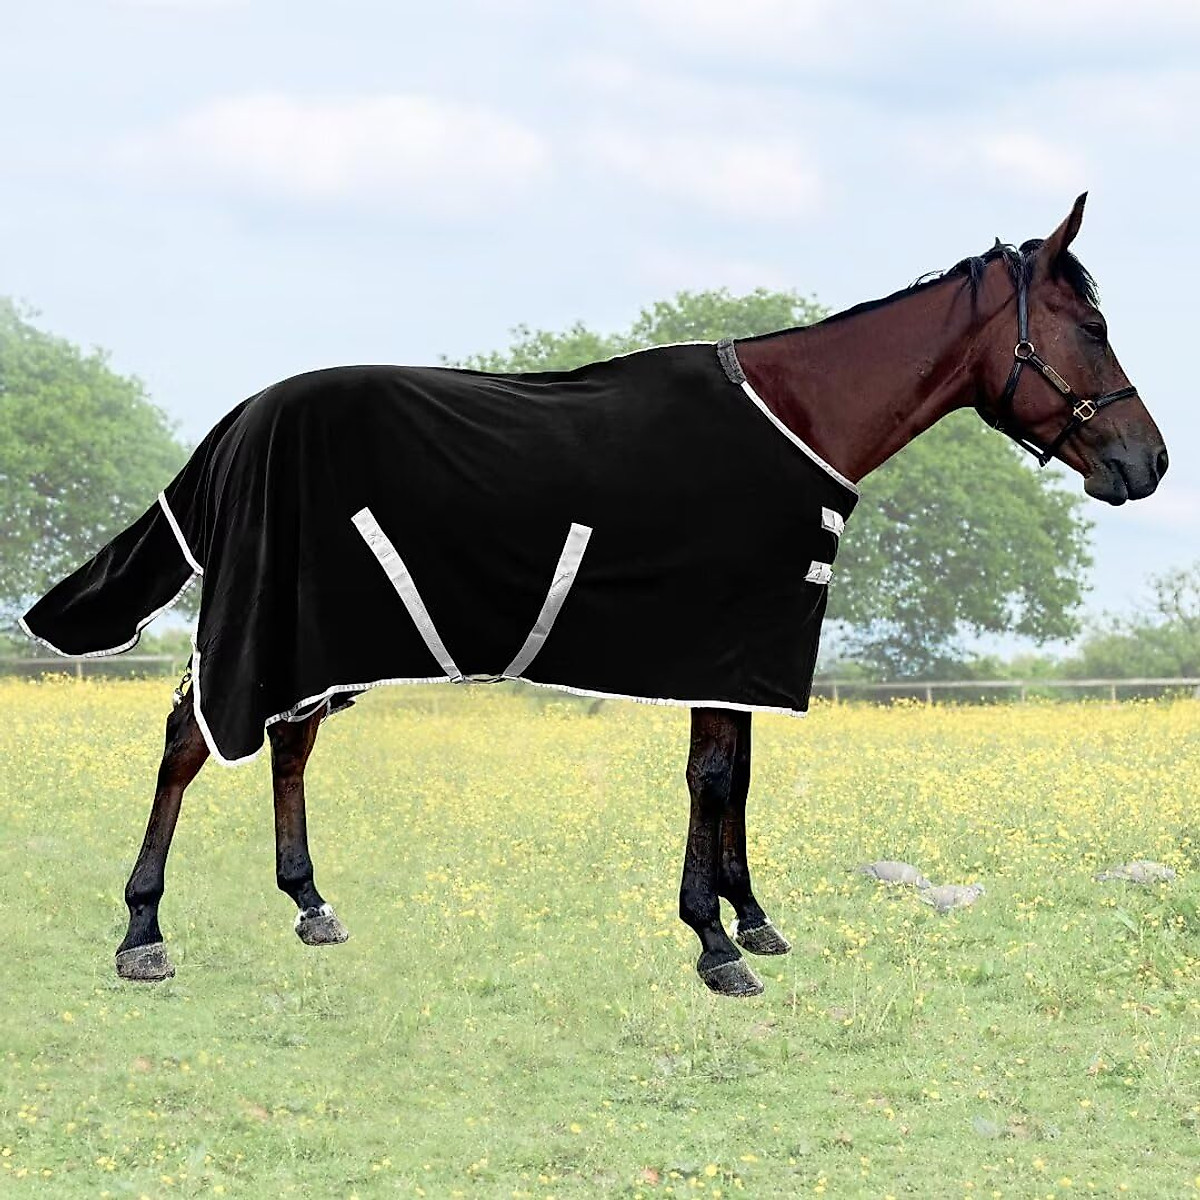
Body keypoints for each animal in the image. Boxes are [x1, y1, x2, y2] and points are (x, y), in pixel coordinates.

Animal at [21, 194, 1167, 997]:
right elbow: (713, 780)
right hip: (275, 626)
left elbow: (737, 783)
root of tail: (239, 419)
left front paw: (753, 920)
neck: (794, 418)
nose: (1147, 463)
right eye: (1091, 328)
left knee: (288, 744)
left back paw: (311, 905)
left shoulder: (748, 651)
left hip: (327, 635)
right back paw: (142, 933)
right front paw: (715, 946)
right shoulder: (723, 639)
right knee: (189, 740)